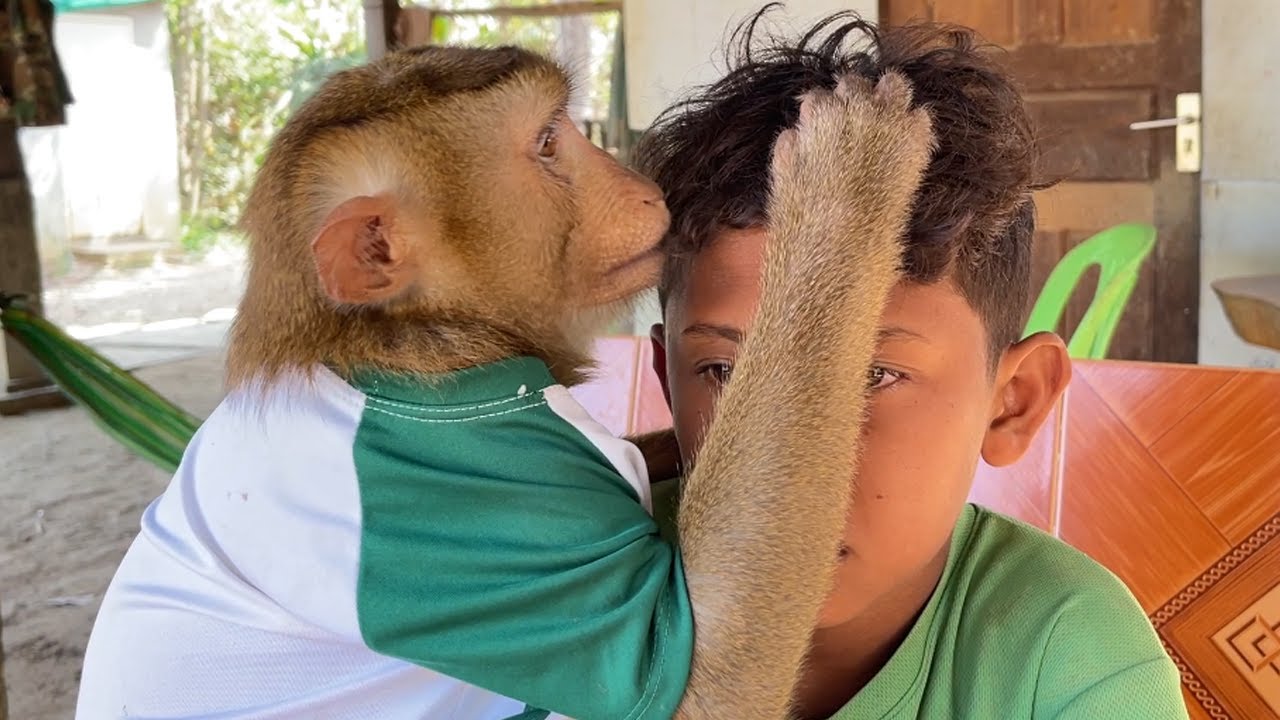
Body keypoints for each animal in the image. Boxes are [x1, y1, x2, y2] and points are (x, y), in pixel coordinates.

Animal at [74, 45, 933, 720]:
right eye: (550, 142)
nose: (643, 187)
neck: (390, 336)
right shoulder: (472, 495)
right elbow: (710, 678)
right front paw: (848, 181)